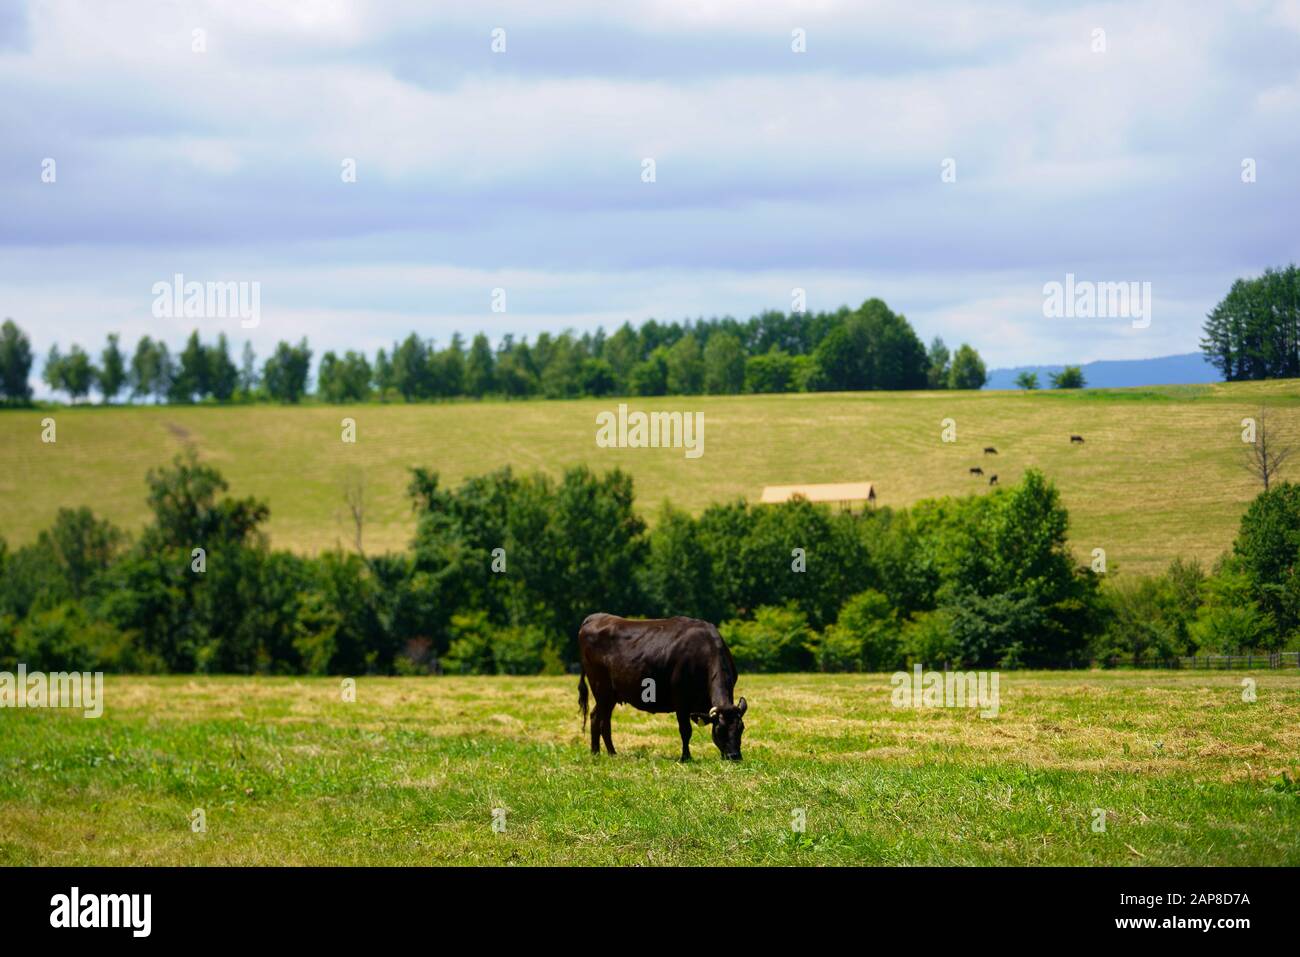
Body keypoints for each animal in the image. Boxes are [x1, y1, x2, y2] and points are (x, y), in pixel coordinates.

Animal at [578, 613, 748, 762]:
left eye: (741, 728)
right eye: (720, 730)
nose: (734, 756)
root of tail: (596, 617)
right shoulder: (681, 701)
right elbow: (685, 730)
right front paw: (686, 757)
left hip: (612, 695)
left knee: (604, 720)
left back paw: (612, 753)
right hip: (601, 689)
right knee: (596, 718)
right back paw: (595, 753)